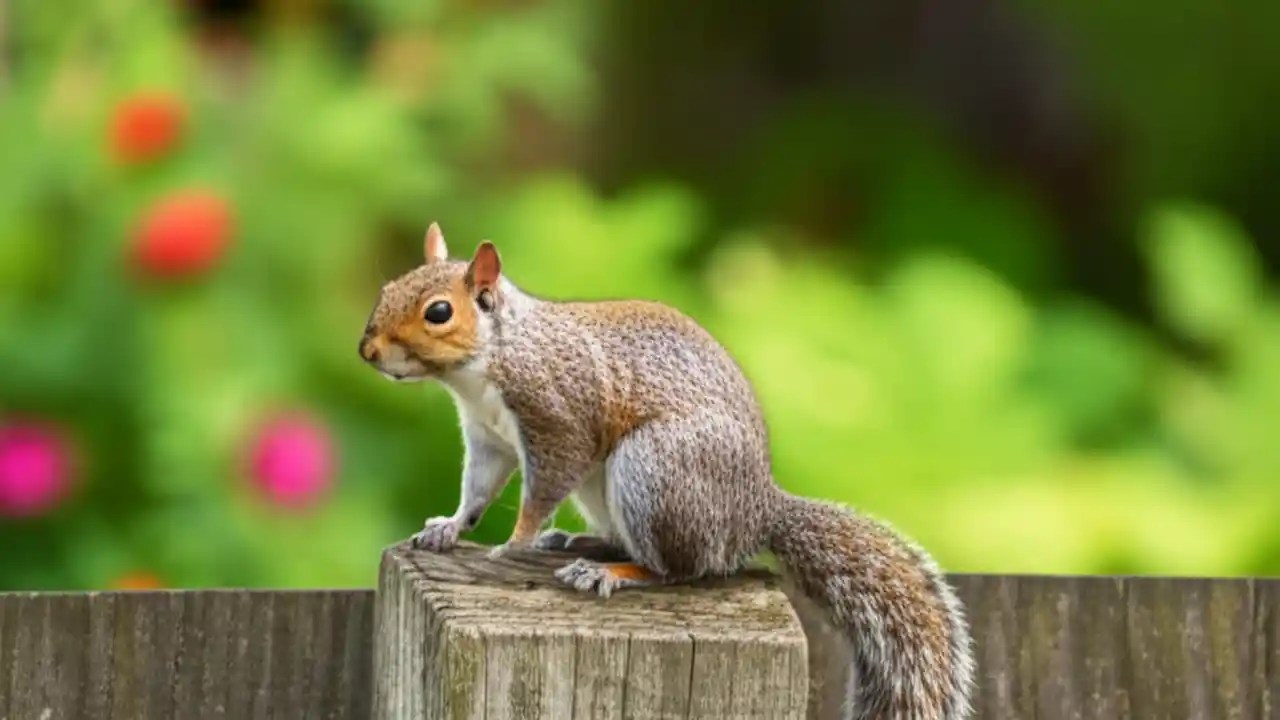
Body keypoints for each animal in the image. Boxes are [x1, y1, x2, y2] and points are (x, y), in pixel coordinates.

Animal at [359, 223, 975, 720]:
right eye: (388, 288)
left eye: (439, 312)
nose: (368, 351)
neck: (493, 358)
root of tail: (758, 511)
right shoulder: (487, 438)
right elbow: (478, 490)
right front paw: (449, 527)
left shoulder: (560, 420)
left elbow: (541, 491)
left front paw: (513, 544)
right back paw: (586, 545)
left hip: (654, 471)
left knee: (682, 568)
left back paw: (612, 572)